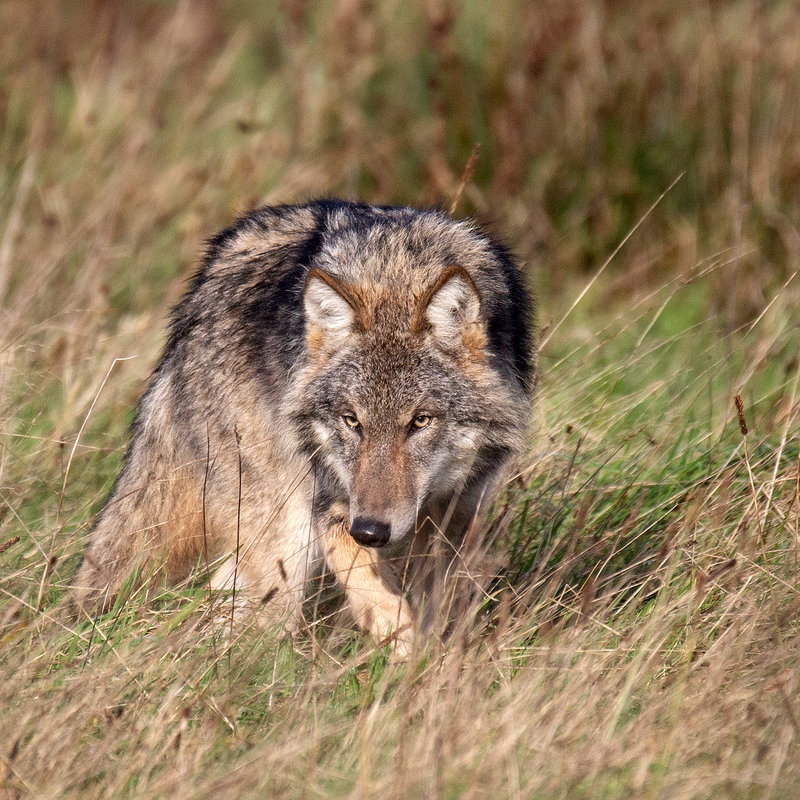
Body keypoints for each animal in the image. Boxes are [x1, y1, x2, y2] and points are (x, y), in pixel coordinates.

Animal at [72, 200, 534, 654]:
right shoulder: (331, 501)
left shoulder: (458, 512)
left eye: (420, 421)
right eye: (352, 420)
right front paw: (402, 643)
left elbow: (435, 596)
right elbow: (375, 591)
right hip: (285, 534)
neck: (394, 272)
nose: (371, 531)